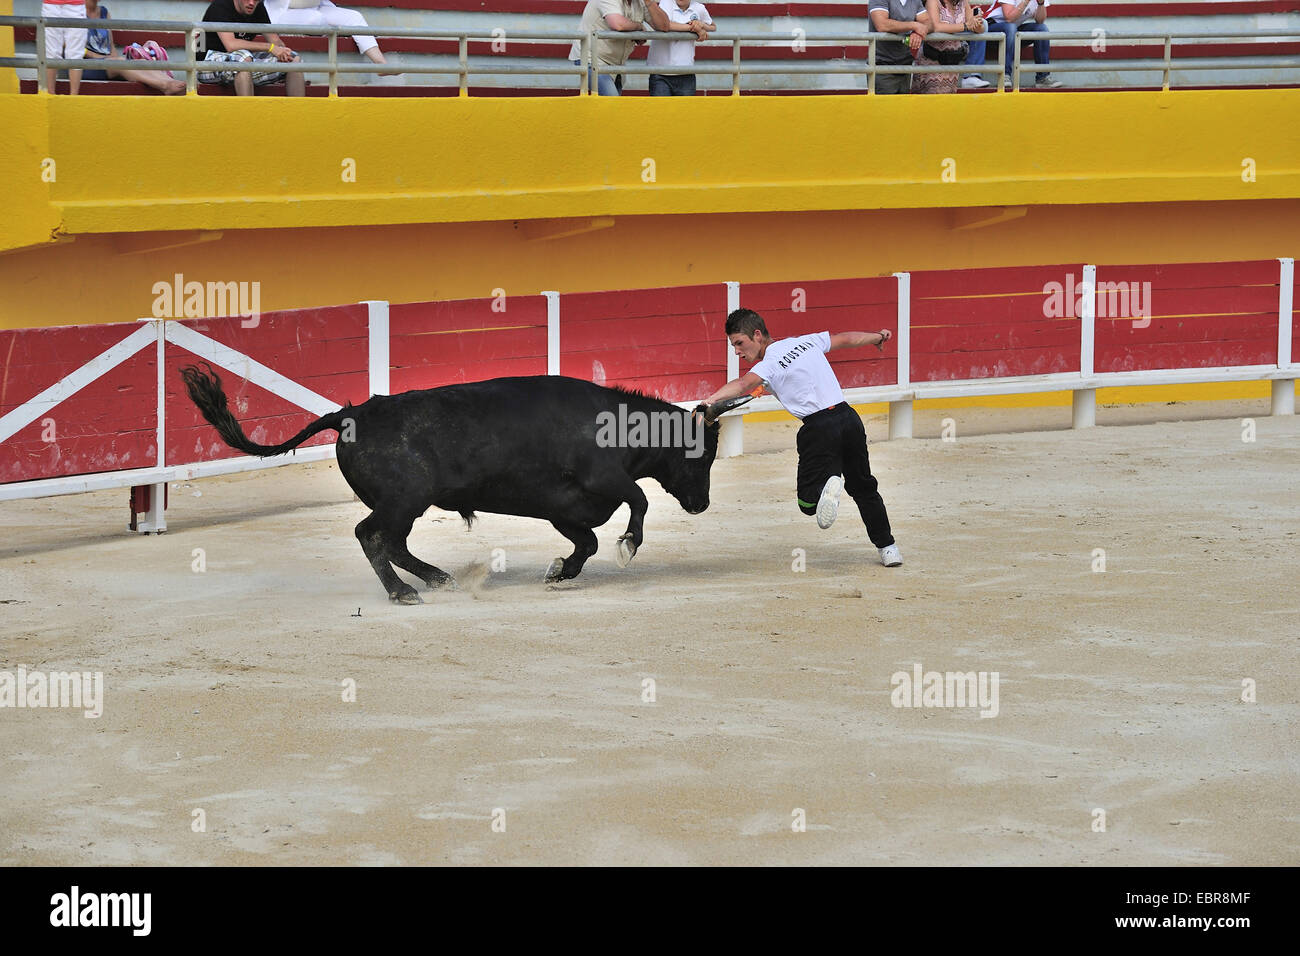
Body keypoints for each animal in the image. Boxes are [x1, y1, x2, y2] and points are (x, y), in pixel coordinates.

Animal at [179, 365, 721, 603]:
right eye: (699, 452)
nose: (701, 504)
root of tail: (351, 414)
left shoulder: (563, 508)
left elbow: (585, 543)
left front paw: (558, 572)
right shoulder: (601, 478)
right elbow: (640, 500)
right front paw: (626, 546)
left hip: (407, 504)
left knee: (390, 541)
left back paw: (438, 578)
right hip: (404, 499)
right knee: (371, 535)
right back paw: (404, 592)